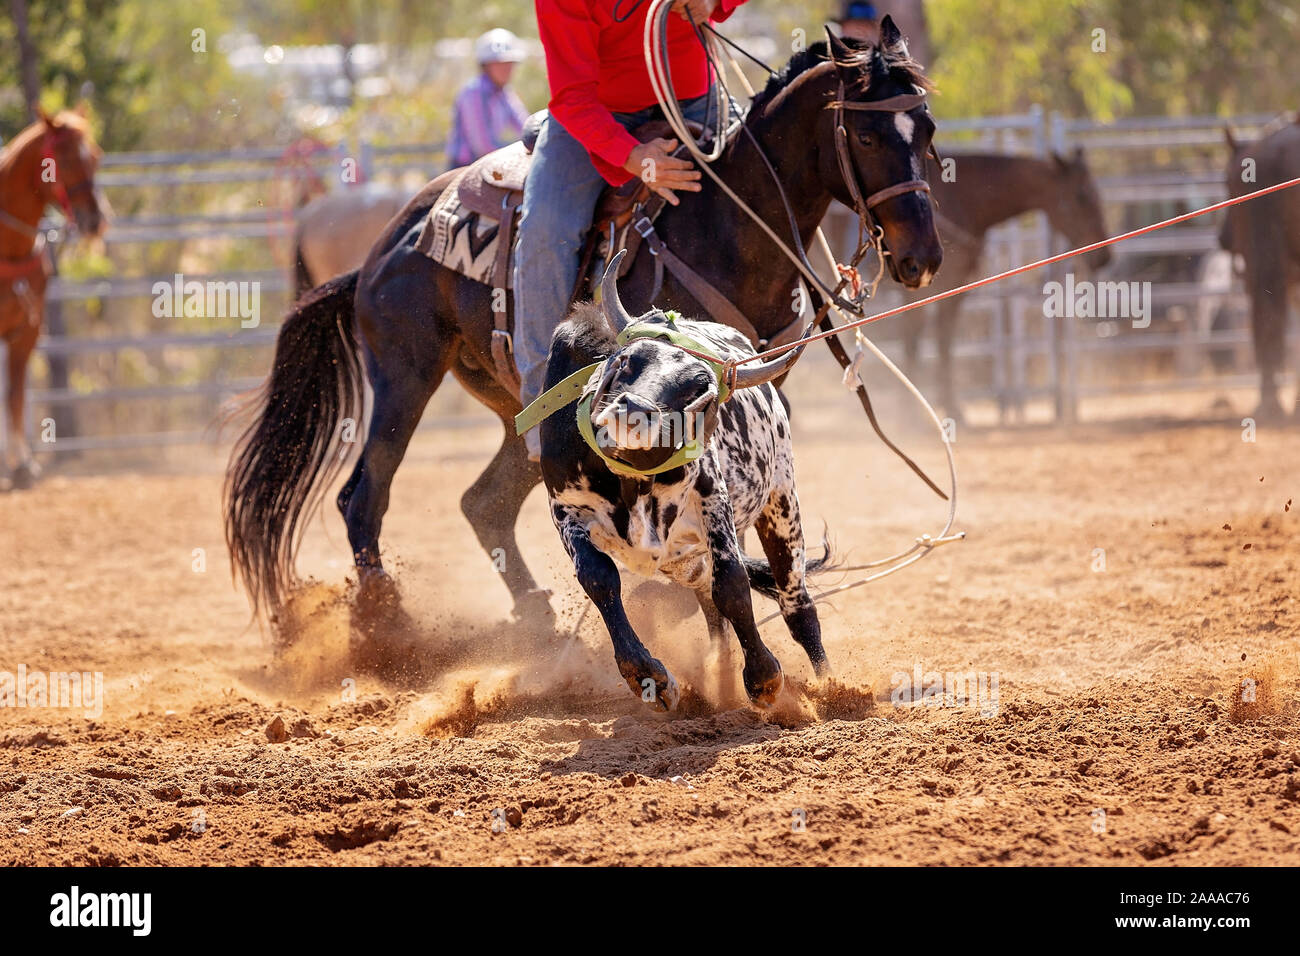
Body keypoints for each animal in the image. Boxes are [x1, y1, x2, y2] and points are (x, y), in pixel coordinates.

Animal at [523, 250, 831, 711]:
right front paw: (646, 677)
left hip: (781, 504)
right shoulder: (566, 509)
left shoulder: (713, 499)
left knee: (797, 603)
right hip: (684, 559)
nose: (632, 411)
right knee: (709, 605)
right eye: (627, 360)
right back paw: (719, 677)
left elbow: (732, 584)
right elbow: (599, 577)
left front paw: (762, 677)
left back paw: (833, 687)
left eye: (697, 387)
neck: (630, 481)